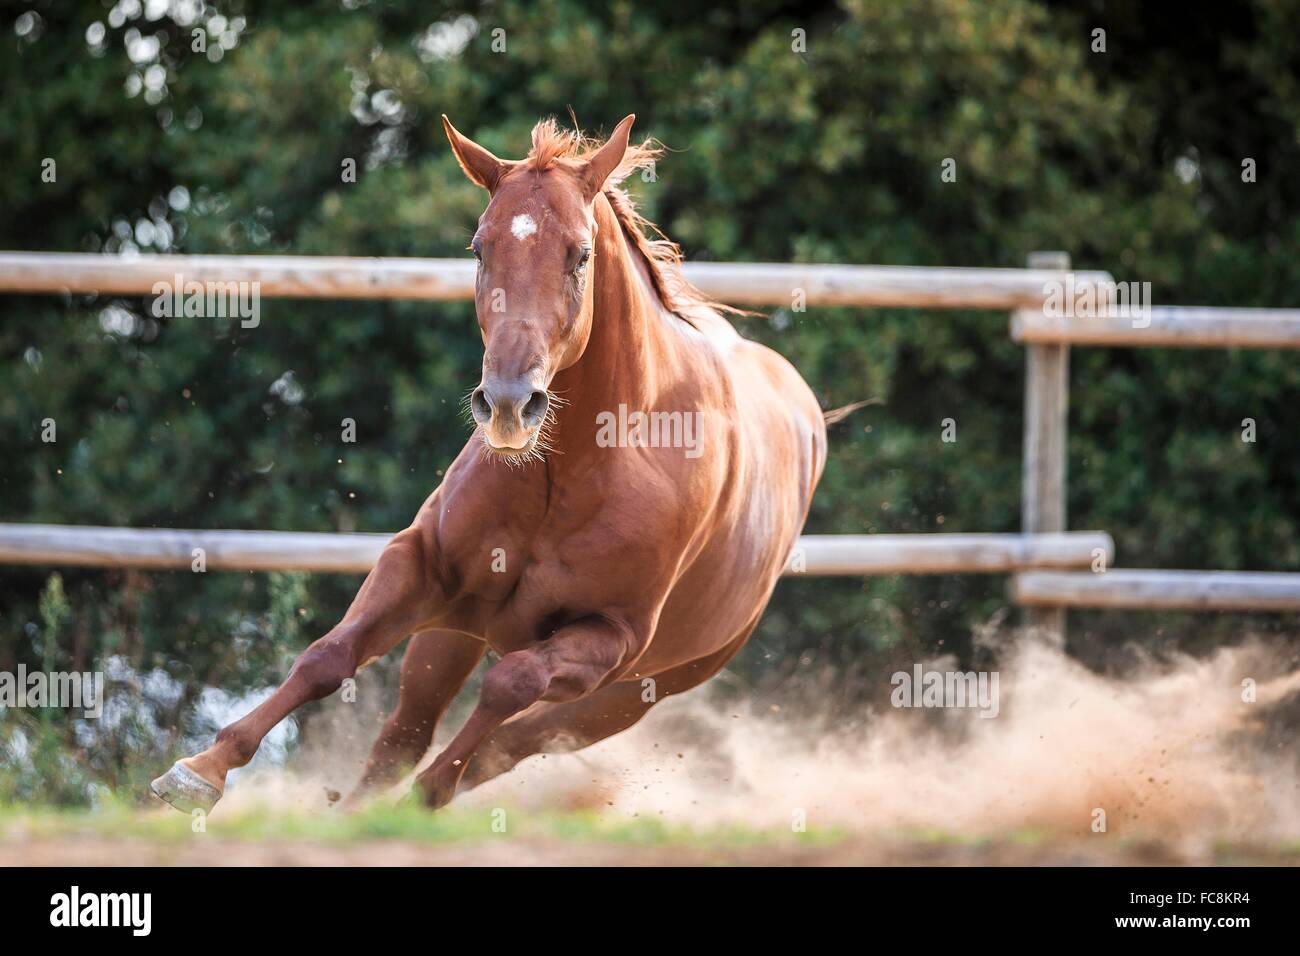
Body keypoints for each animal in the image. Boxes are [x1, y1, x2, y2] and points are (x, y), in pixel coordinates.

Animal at [150, 114, 830, 813]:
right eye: (479, 249)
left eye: (580, 254)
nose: (507, 403)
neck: (579, 469)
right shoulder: (421, 564)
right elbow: (328, 656)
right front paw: (201, 770)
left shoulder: (611, 639)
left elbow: (509, 687)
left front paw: (421, 800)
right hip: (455, 632)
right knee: (407, 733)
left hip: (627, 695)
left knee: (509, 741)